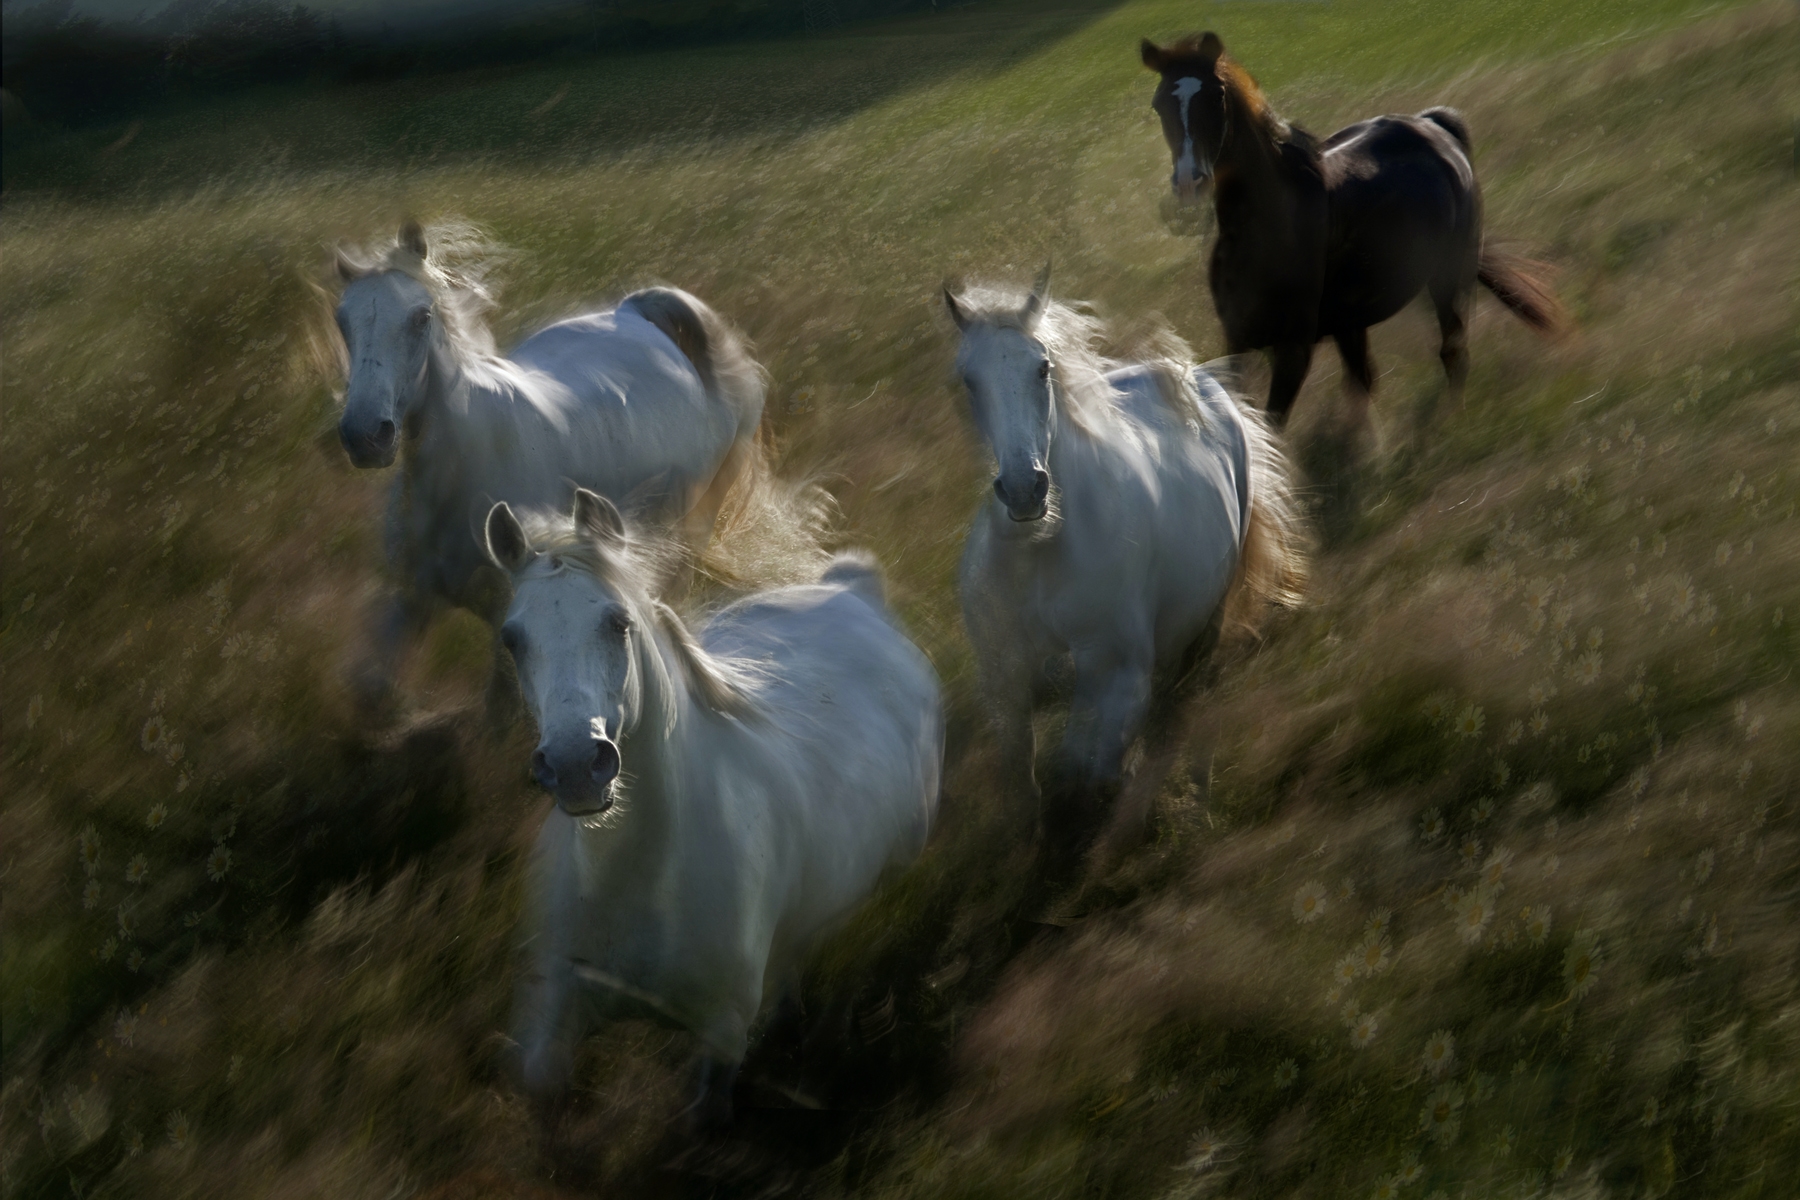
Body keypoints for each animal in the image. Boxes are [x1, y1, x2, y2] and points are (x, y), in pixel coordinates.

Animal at [330, 219, 765, 711]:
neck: (460, 470)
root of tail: (637, 312)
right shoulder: (411, 597)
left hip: (691, 527)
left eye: (421, 317)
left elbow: (500, 710)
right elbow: (375, 691)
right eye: (342, 320)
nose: (365, 435)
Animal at [483, 488, 943, 1128]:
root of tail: (854, 591)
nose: (575, 764)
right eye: (513, 638)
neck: (644, 881)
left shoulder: (721, 1036)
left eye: (619, 623)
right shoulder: (549, 1012)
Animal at [945, 265, 1305, 847]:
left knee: (1186, 708)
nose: (1024, 490)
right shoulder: (1006, 681)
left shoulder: (1116, 676)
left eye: (1042, 368)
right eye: (969, 380)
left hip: (1206, 625)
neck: (1041, 554)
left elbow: (1083, 774)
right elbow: (1027, 787)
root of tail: (1205, 383)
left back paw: (1196, 802)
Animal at [1139, 32, 1564, 427]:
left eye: (1217, 96)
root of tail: (1432, 124)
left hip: (1450, 279)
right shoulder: (1238, 341)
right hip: (1352, 320)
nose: (1189, 184)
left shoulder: (1294, 350)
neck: (1267, 229)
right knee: (1364, 378)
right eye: (1159, 104)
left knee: (1452, 353)